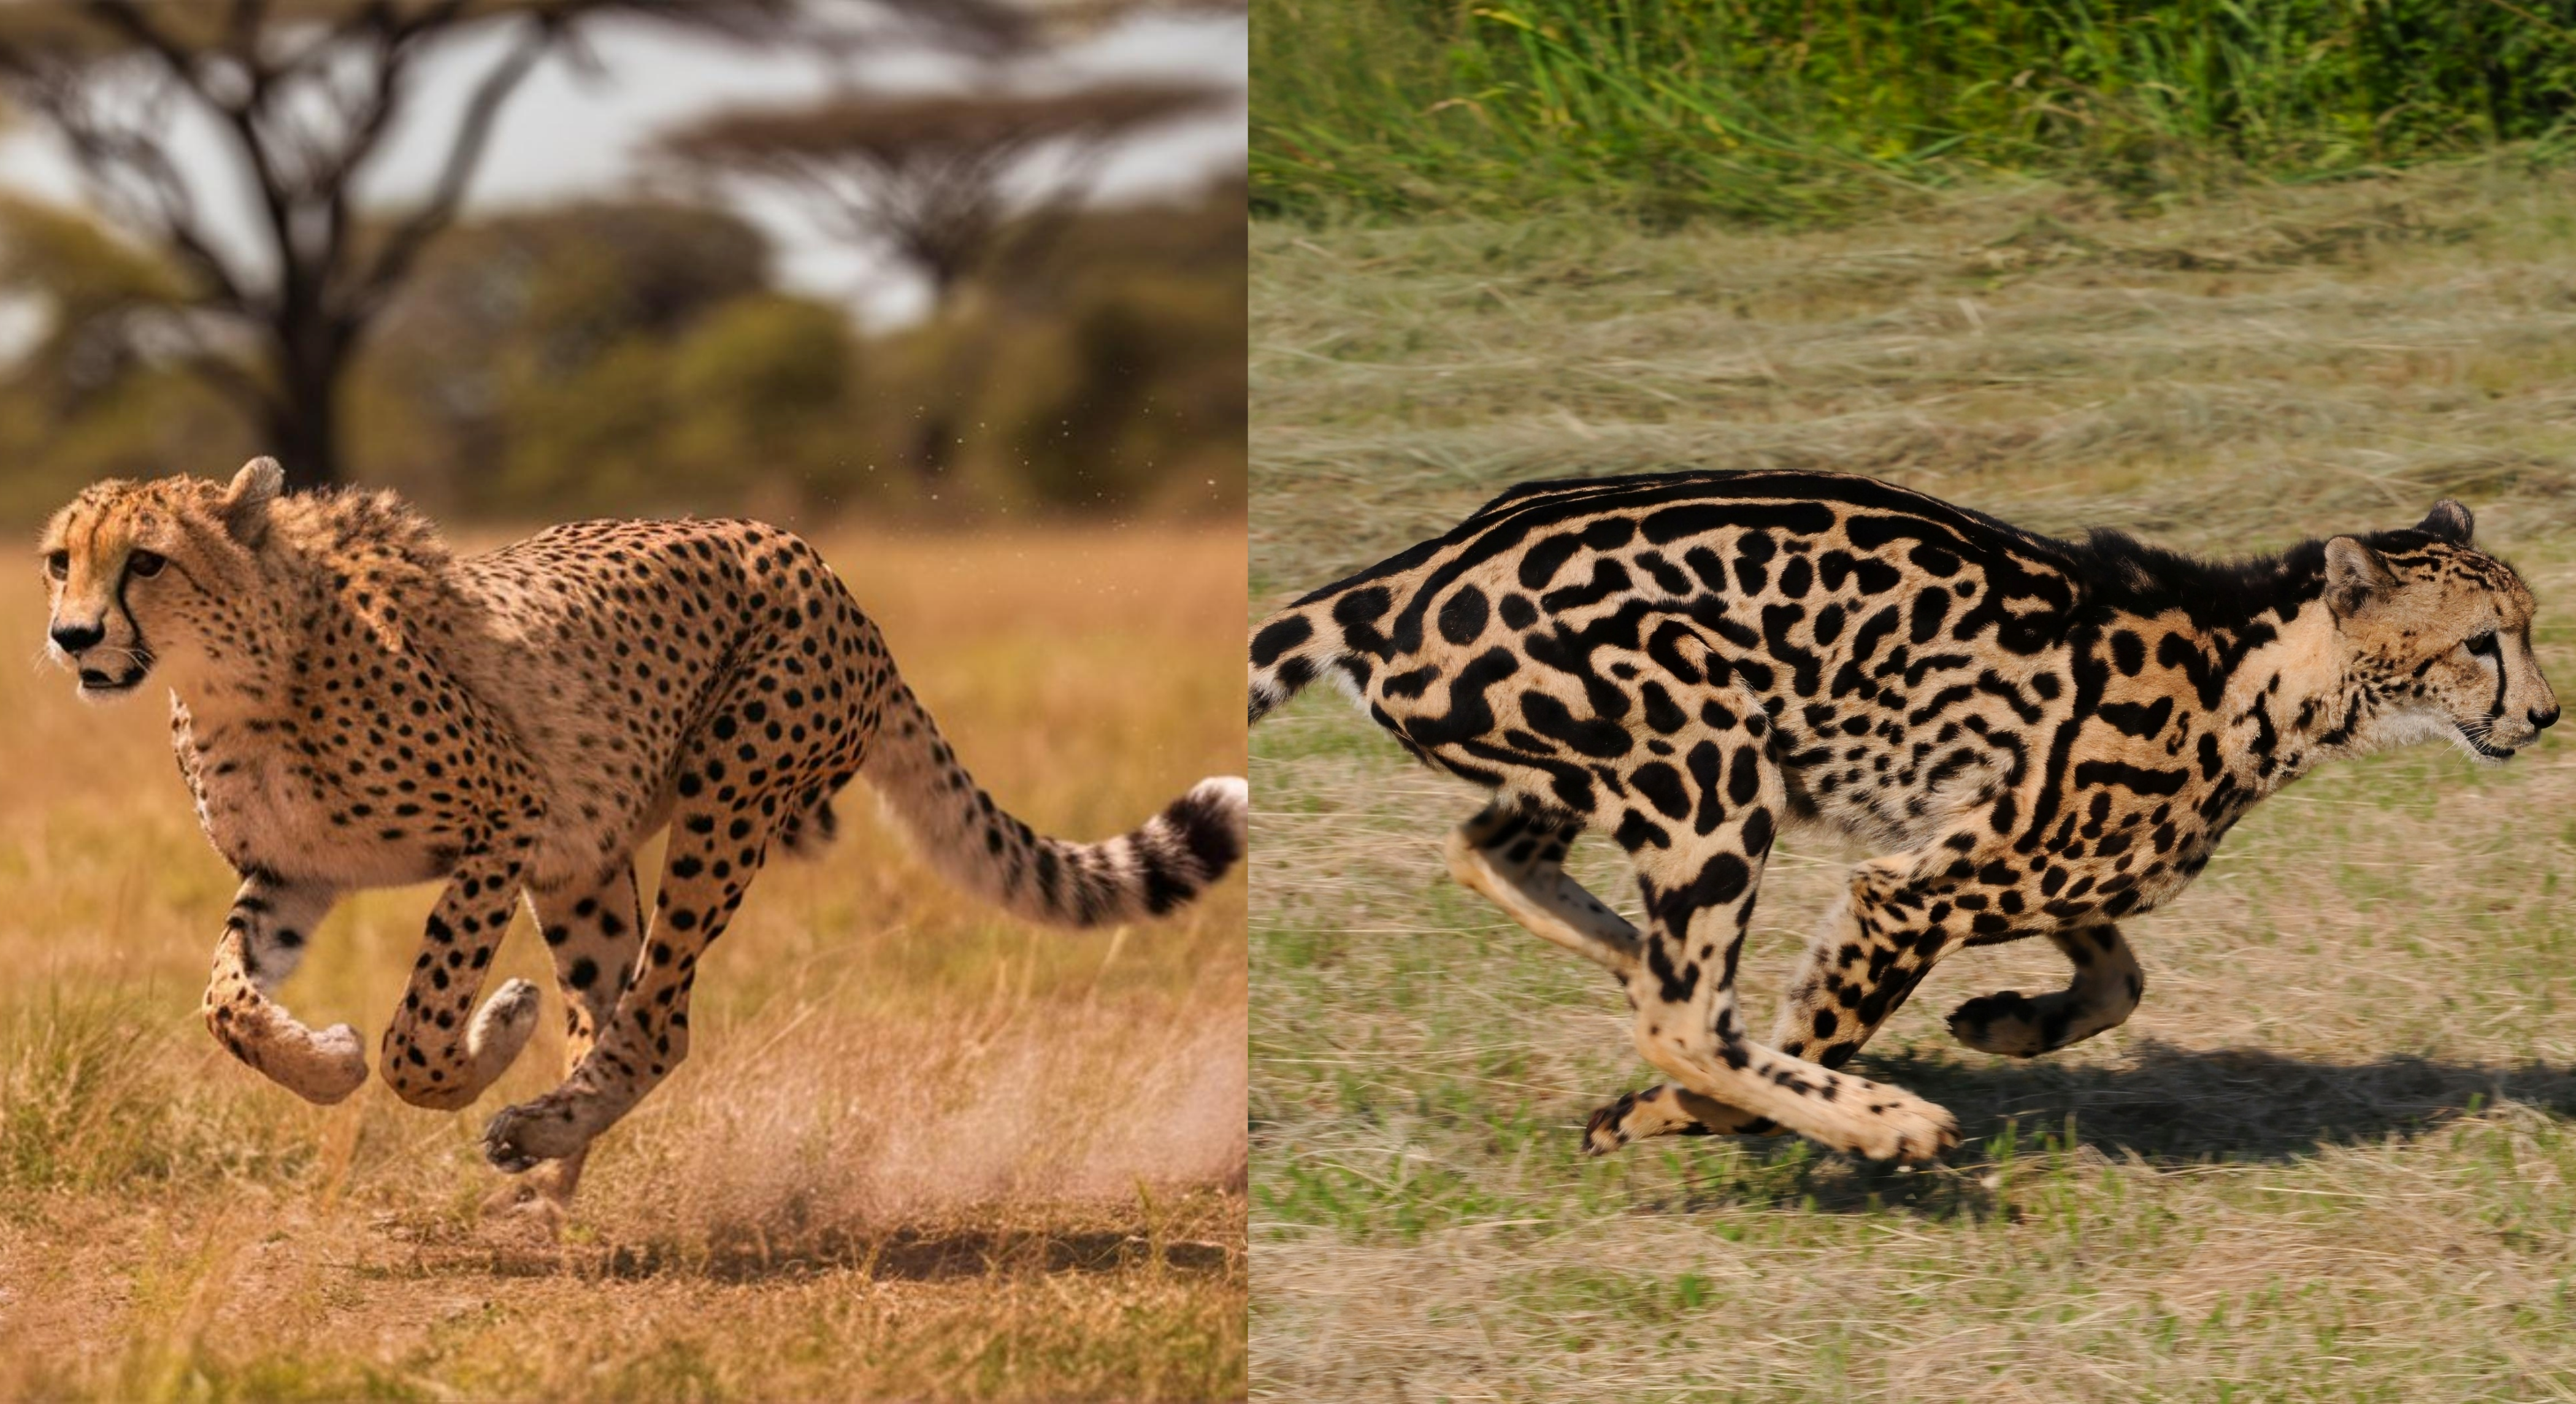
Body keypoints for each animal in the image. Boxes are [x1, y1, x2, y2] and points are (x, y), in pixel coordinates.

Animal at [40, 459, 1248, 1210]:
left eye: (146, 560)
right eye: (62, 559)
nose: (72, 636)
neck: (240, 677)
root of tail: (811, 557)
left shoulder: (505, 818)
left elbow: (418, 1030)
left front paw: (483, 1031)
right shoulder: (290, 872)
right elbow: (226, 1001)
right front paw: (327, 1060)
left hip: (724, 796)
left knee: (658, 1017)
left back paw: (535, 1131)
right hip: (586, 862)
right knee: (616, 1008)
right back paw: (546, 1172)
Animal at [1248, 468, 2557, 1163]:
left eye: (2529, 627)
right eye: (2480, 644)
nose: (2546, 713)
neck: (2254, 669)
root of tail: (1418, 564)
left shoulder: (2000, 861)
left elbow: (2121, 978)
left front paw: (2008, 1021)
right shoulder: (1915, 888)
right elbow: (1821, 1026)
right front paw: (1669, 1117)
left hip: (1596, 768)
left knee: (1493, 856)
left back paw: (1630, 950)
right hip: (1711, 754)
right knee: (1683, 1012)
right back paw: (1880, 1117)